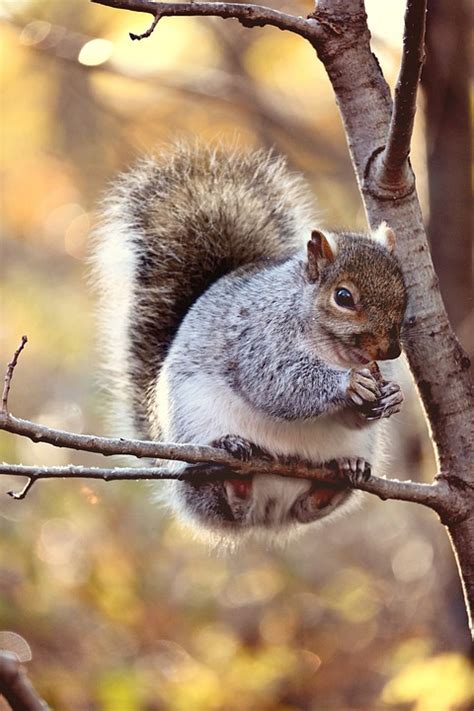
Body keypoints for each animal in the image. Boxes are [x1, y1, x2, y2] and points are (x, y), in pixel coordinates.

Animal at [93, 143, 407, 544]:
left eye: (405, 293)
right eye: (343, 297)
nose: (391, 350)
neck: (332, 349)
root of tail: (267, 515)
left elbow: (356, 415)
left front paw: (390, 396)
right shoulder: (258, 337)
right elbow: (279, 384)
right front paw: (349, 384)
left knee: (309, 507)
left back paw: (339, 476)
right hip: (195, 436)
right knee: (220, 502)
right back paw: (232, 466)